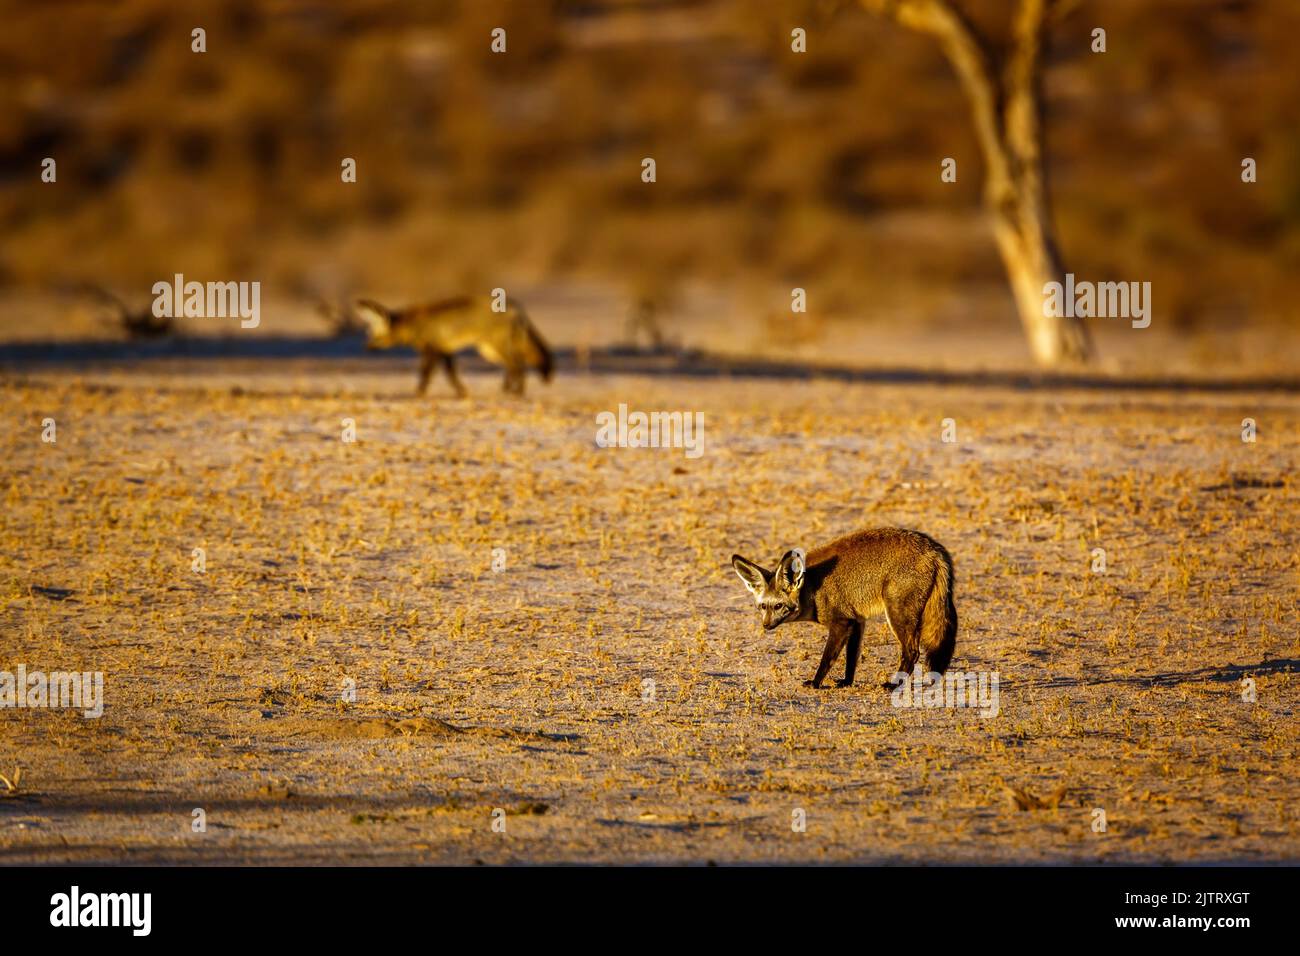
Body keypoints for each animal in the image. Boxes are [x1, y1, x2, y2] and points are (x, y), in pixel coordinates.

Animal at [354, 295, 554, 397]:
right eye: (369, 334)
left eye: (374, 337)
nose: (365, 347)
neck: (413, 323)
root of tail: (516, 306)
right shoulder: (445, 352)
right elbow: (451, 376)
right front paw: (461, 392)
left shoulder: (432, 351)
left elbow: (426, 373)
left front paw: (419, 392)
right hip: (488, 351)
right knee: (514, 366)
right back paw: (508, 389)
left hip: (495, 347)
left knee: (518, 365)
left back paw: (517, 392)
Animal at [731, 527, 957, 690]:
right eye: (762, 607)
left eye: (778, 606)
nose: (766, 625)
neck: (812, 587)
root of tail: (934, 549)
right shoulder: (856, 621)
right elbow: (851, 659)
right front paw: (847, 682)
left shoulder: (841, 622)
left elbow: (827, 659)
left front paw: (815, 683)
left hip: (897, 616)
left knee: (912, 652)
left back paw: (894, 684)